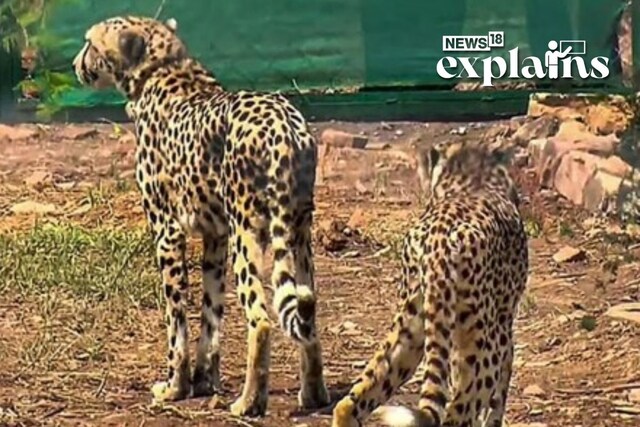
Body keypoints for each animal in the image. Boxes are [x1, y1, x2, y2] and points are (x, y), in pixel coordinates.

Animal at [72, 15, 329, 417]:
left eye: (90, 43)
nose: (75, 64)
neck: (161, 69)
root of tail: (284, 124)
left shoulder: (168, 233)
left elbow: (176, 320)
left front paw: (175, 387)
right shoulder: (215, 236)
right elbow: (211, 313)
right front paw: (204, 380)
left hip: (247, 232)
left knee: (261, 319)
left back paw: (248, 402)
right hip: (298, 233)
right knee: (308, 311)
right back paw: (314, 394)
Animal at [332, 140, 529, 427]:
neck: (471, 178)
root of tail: (440, 240)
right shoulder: (503, 328)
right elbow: (498, 398)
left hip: (410, 328)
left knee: (350, 402)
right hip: (484, 342)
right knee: (458, 412)